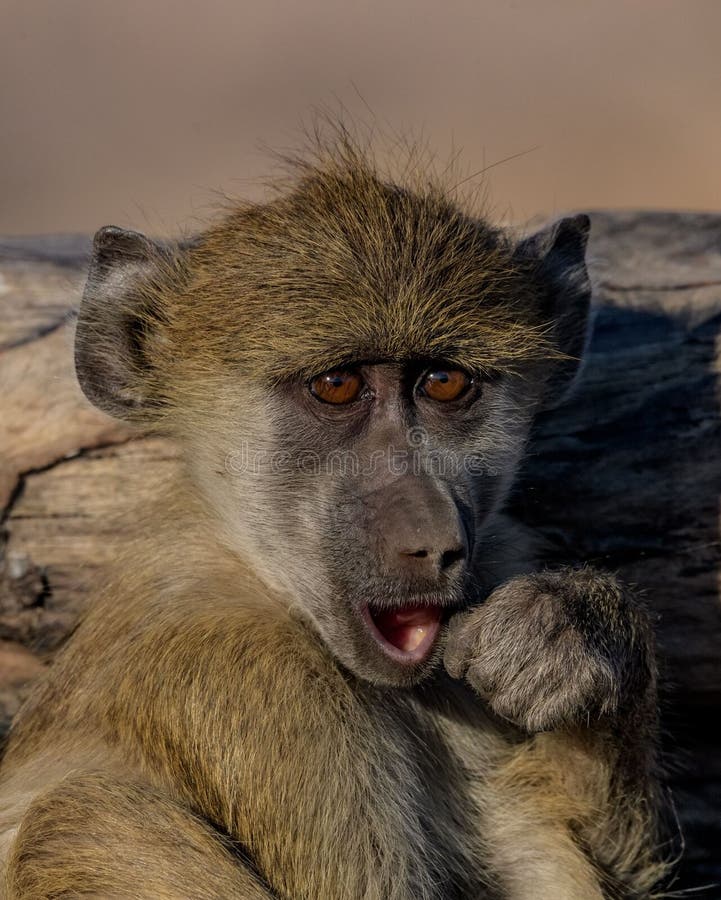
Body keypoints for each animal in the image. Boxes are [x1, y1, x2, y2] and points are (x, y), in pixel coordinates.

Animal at [0, 134, 670, 899]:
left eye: (445, 383)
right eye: (337, 385)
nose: (433, 543)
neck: (260, 575)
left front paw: (569, 634)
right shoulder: (259, 689)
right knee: (84, 819)